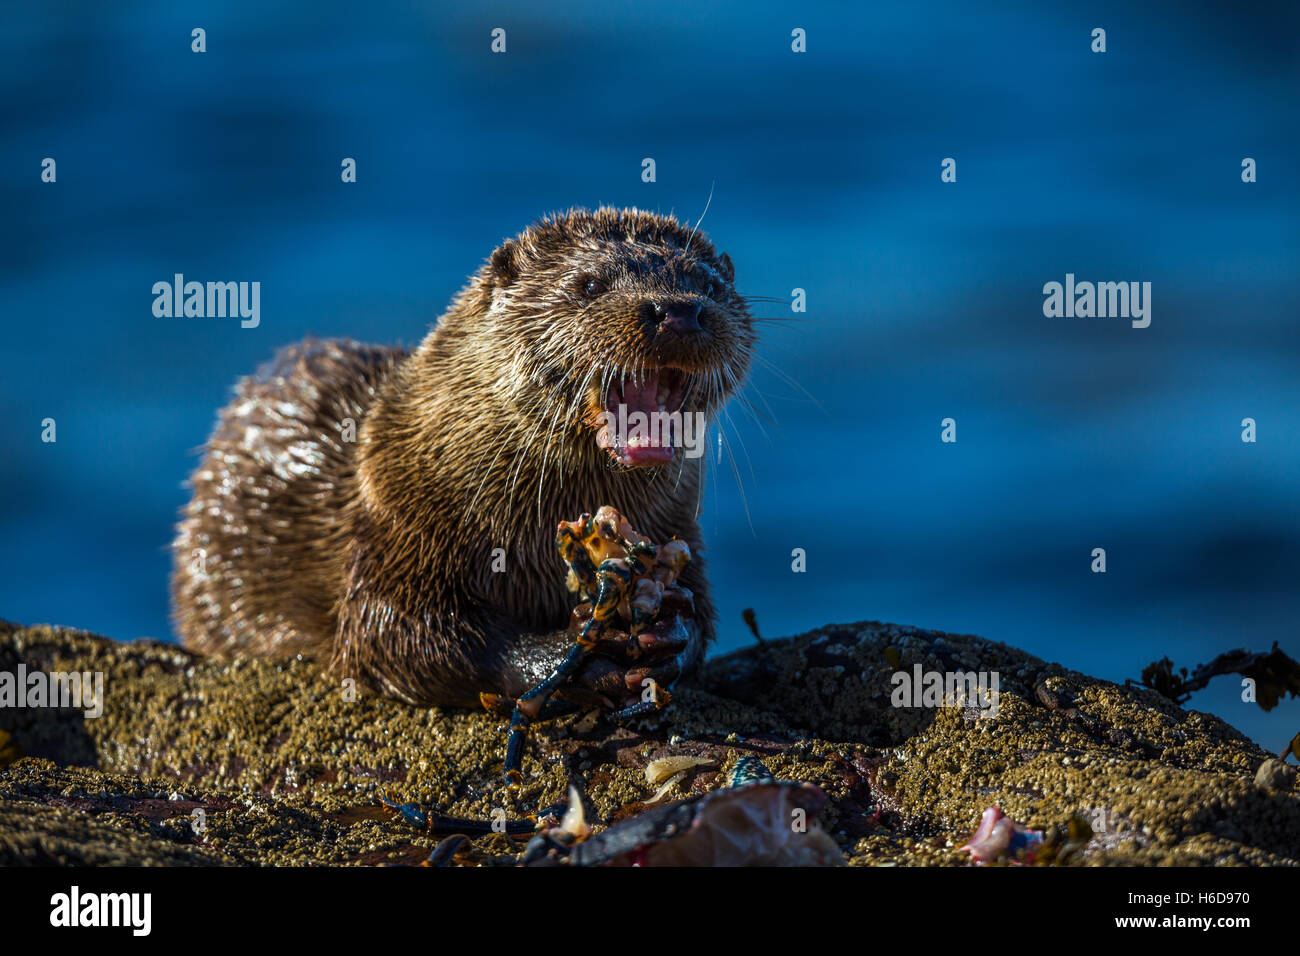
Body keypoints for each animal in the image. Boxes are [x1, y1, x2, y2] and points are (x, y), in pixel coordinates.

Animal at [171, 207, 755, 709]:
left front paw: (672, 629)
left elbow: (703, 622)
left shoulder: (680, 527)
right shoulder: (392, 529)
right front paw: (570, 656)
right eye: (590, 285)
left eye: (710, 286)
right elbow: (401, 636)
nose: (676, 311)